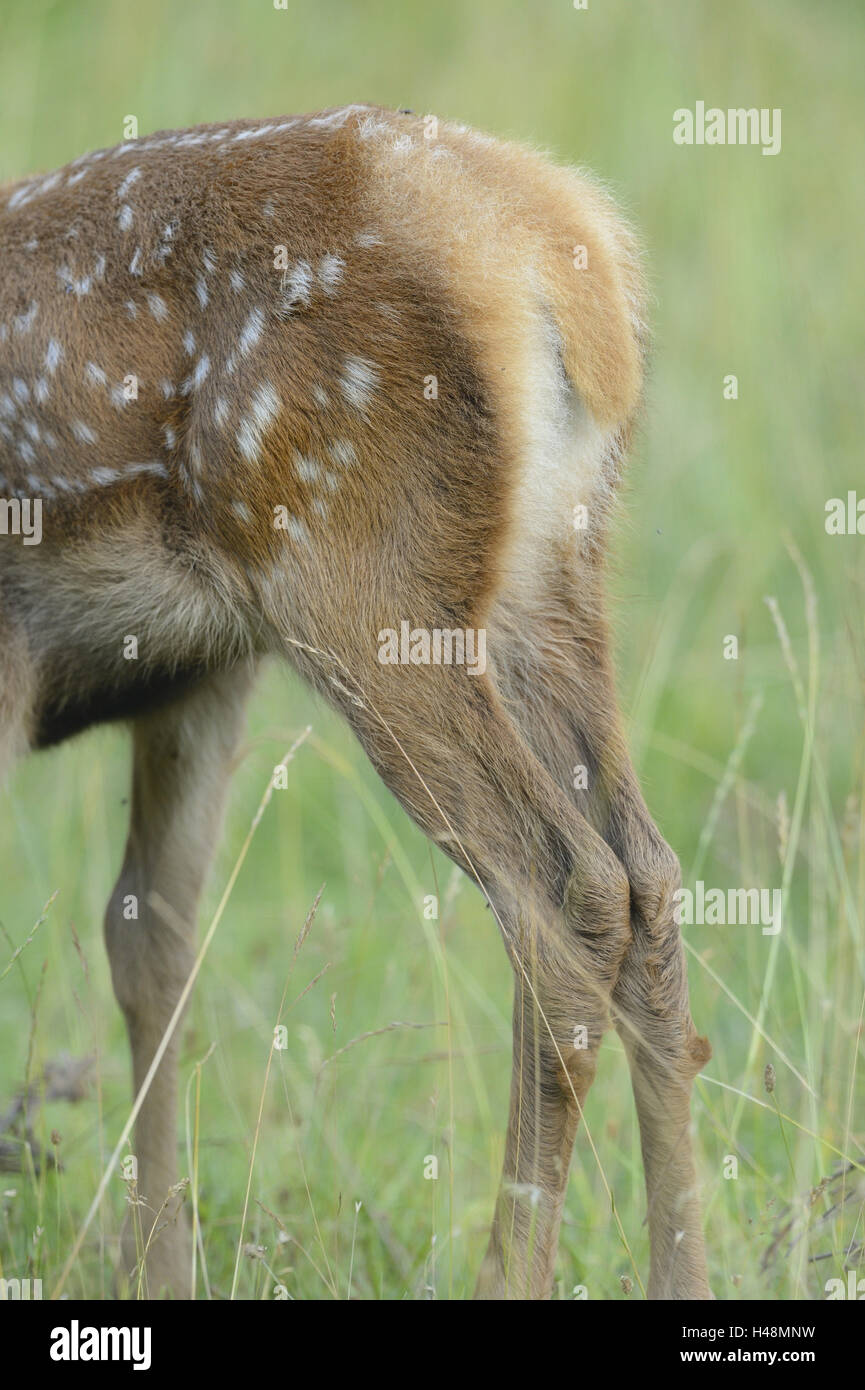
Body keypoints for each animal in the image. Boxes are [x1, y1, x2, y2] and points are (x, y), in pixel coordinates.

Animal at [0, 104, 712, 1300]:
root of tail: (558, 240)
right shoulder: (199, 673)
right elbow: (150, 937)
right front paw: (161, 1271)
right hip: (544, 591)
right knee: (649, 877)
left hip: (358, 580)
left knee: (562, 888)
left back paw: (506, 1272)